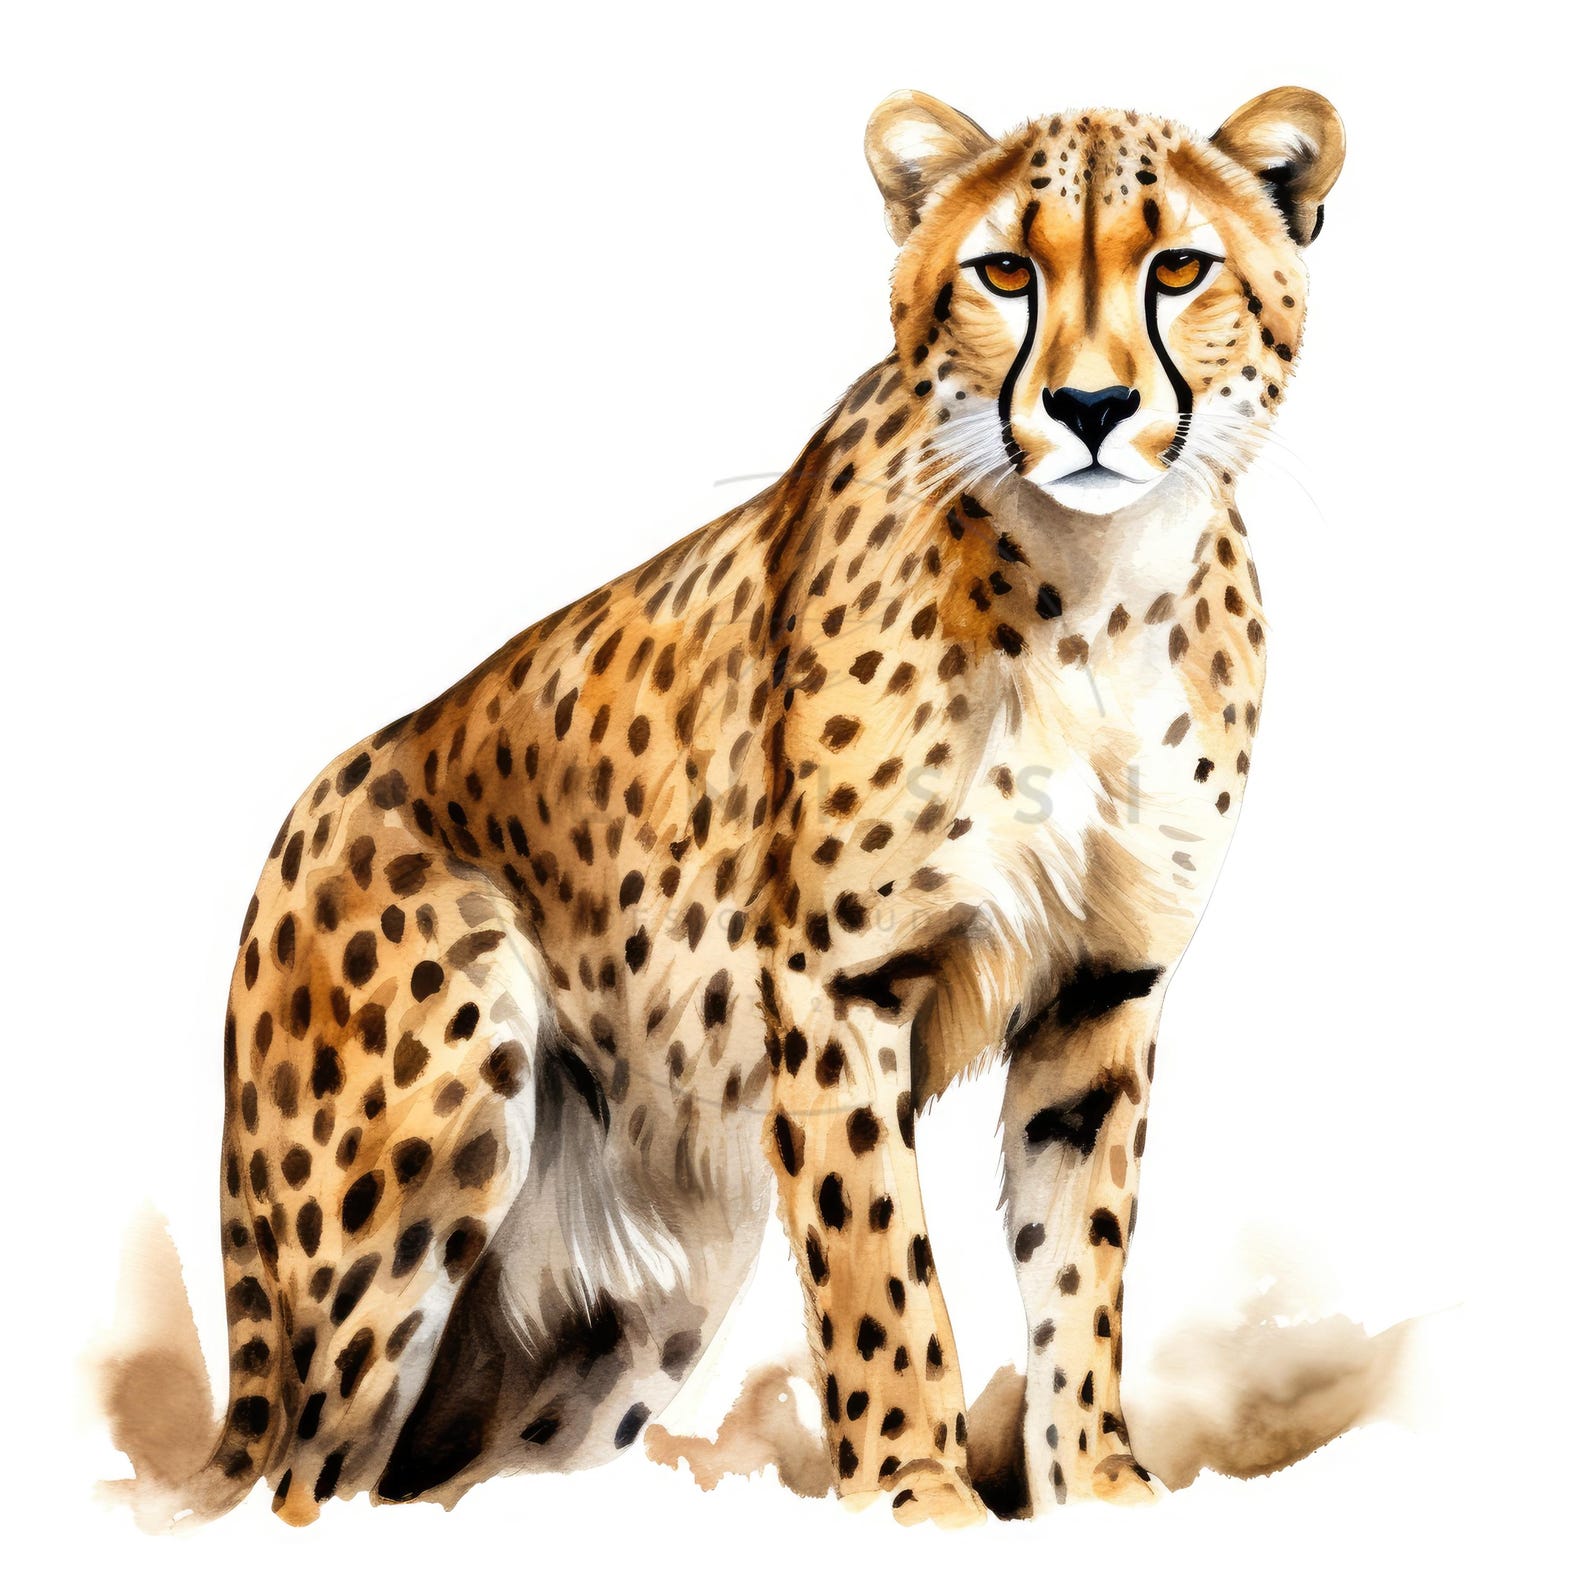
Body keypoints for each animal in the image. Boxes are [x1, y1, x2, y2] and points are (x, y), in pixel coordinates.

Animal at [149, 85, 1345, 1528]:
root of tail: (304, 813)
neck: (1097, 594)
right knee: (307, 1476)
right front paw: (915, 1492)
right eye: (1006, 271)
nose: (1094, 403)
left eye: (1178, 269)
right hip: (413, 1171)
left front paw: (1099, 1489)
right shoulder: (837, 983)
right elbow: (880, 1259)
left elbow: (1080, 1259)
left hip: (623, 1321)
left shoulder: (1098, 996)